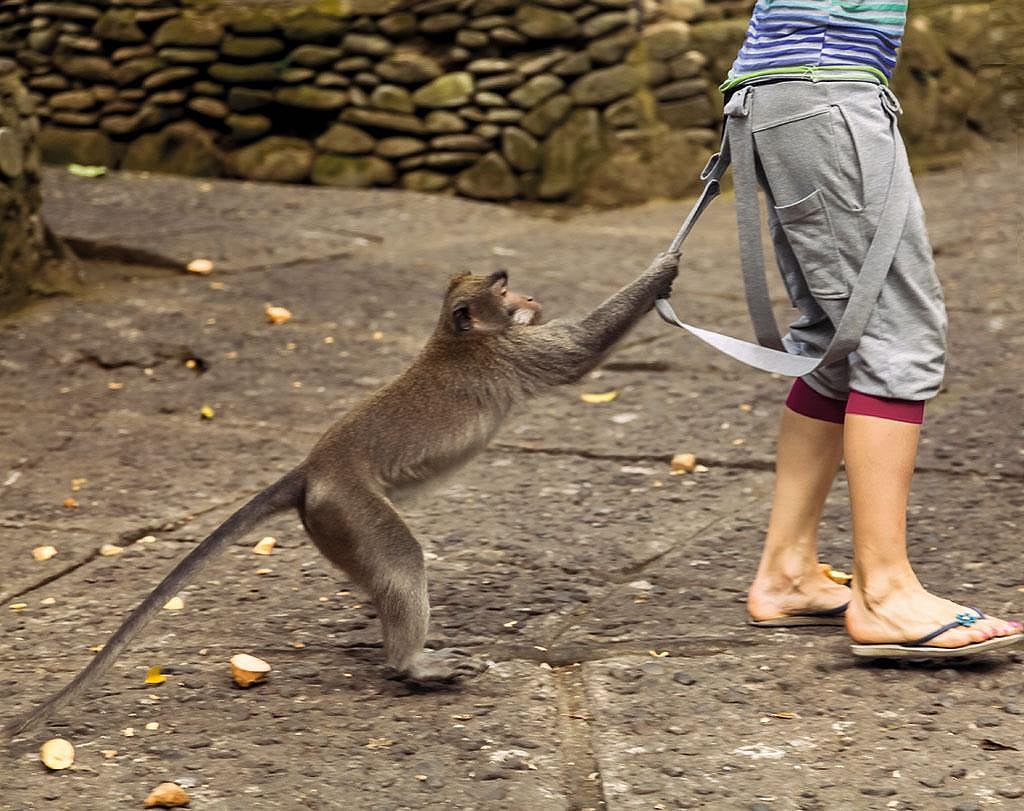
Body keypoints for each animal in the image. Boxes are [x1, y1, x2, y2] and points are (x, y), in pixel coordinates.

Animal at [5, 251, 679, 737]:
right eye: (505, 290)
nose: (532, 300)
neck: (459, 337)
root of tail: (312, 469)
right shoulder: (513, 353)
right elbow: (581, 350)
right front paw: (664, 267)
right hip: (348, 507)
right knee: (401, 558)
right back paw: (410, 662)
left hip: (331, 523)